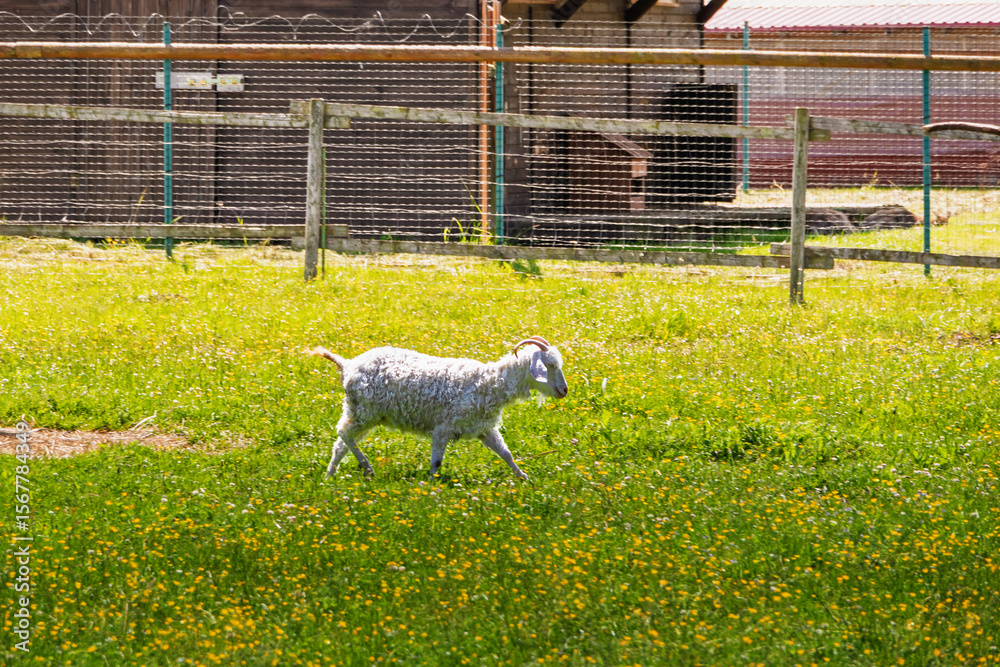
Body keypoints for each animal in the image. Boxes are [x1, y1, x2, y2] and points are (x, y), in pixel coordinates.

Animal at [305, 336, 568, 481]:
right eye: (550, 365)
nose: (564, 391)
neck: (488, 382)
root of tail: (347, 365)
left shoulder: (484, 428)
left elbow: (506, 453)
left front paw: (524, 477)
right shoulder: (443, 427)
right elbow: (436, 462)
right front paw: (431, 488)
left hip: (361, 411)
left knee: (340, 443)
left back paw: (329, 476)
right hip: (364, 411)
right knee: (343, 433)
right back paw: (366, 467)